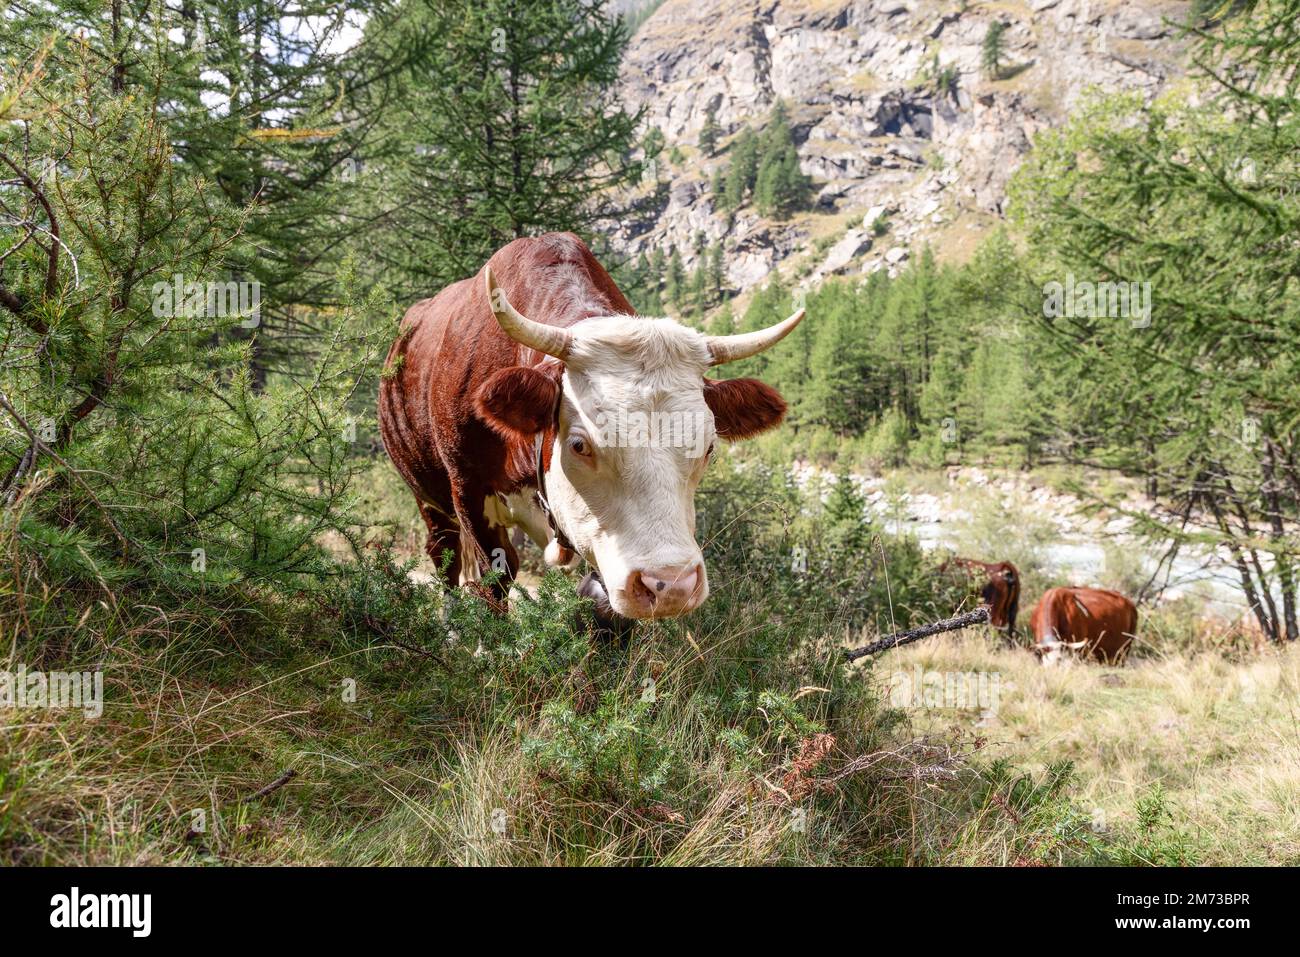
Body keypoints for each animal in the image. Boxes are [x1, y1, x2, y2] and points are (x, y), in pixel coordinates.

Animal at [377, 232, 800, 621]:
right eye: (580, 446)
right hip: (429, 496)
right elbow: (494, 579)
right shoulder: (469, 491)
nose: (671, 586)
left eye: (709, 447)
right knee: (445, 556)